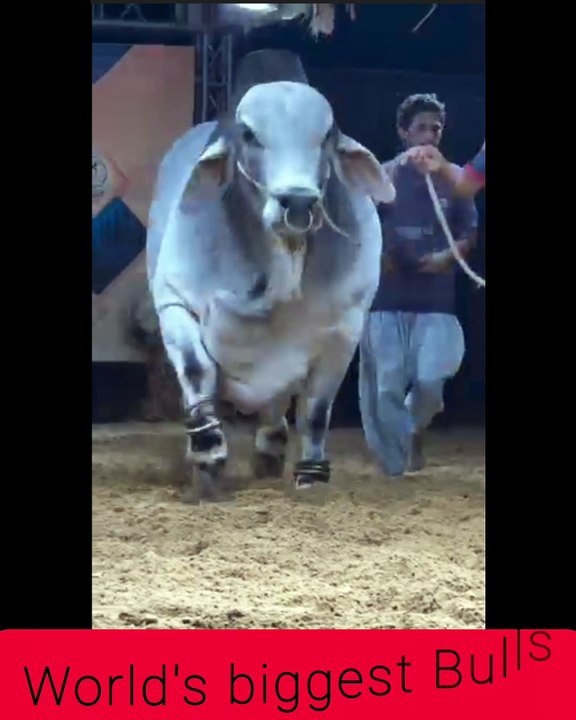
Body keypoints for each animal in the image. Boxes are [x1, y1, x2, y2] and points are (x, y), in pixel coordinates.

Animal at [146, 51, 396, 501]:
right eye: (249, 134)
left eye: (327, 135)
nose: (297, 204)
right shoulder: (175, 302)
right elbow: (197, 371)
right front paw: (208, 459)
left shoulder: (344, 331)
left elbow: (315, 411)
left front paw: (310, 477)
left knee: (278, 407)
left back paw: (270, 452)